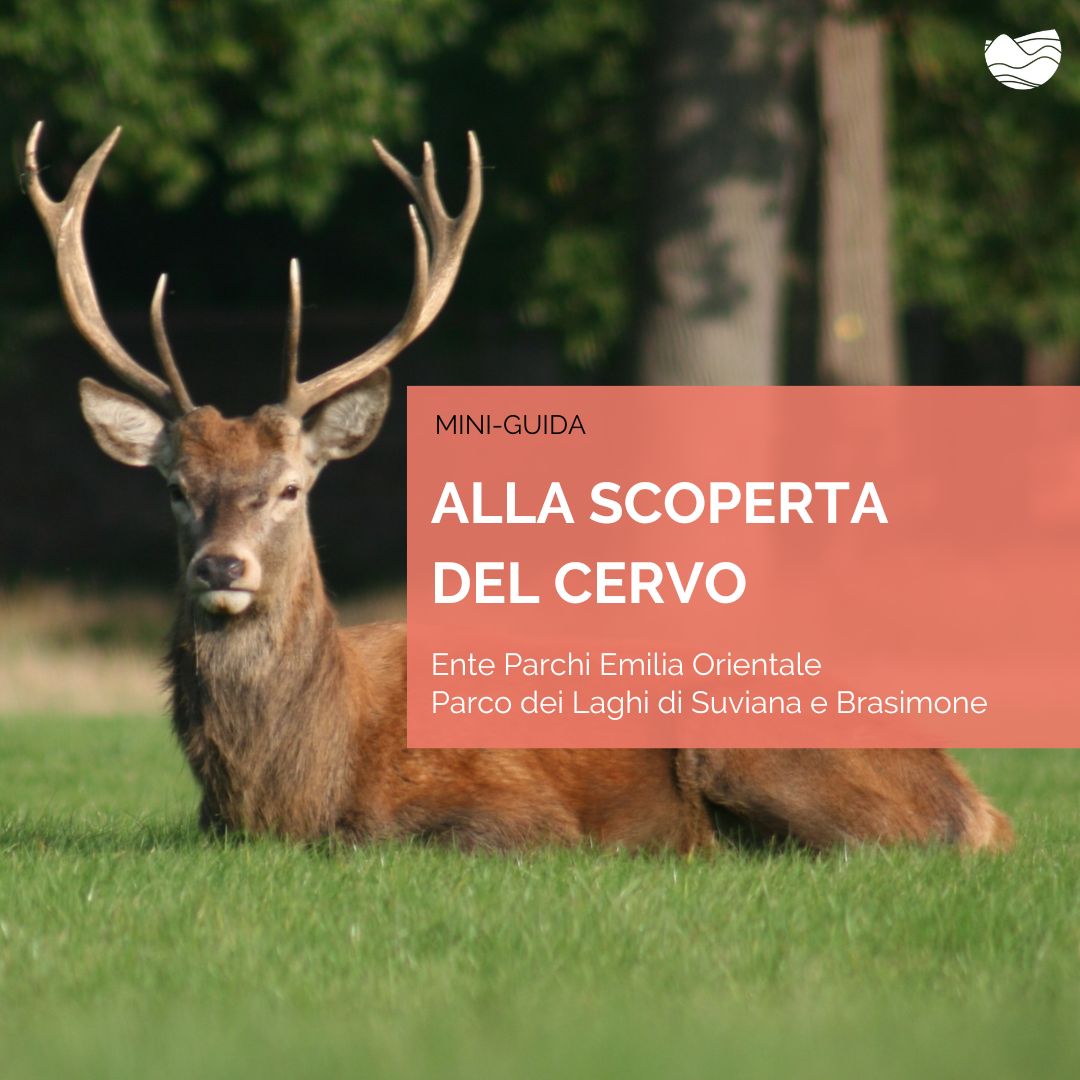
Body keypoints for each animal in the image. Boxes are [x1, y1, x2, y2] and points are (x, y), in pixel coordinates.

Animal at [24, 123, 1013, 852]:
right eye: (175, 486)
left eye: (292, 486)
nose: (222, 568)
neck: (290, 787)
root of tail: (981, 801)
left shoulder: (512, 809)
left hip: (750, 746)